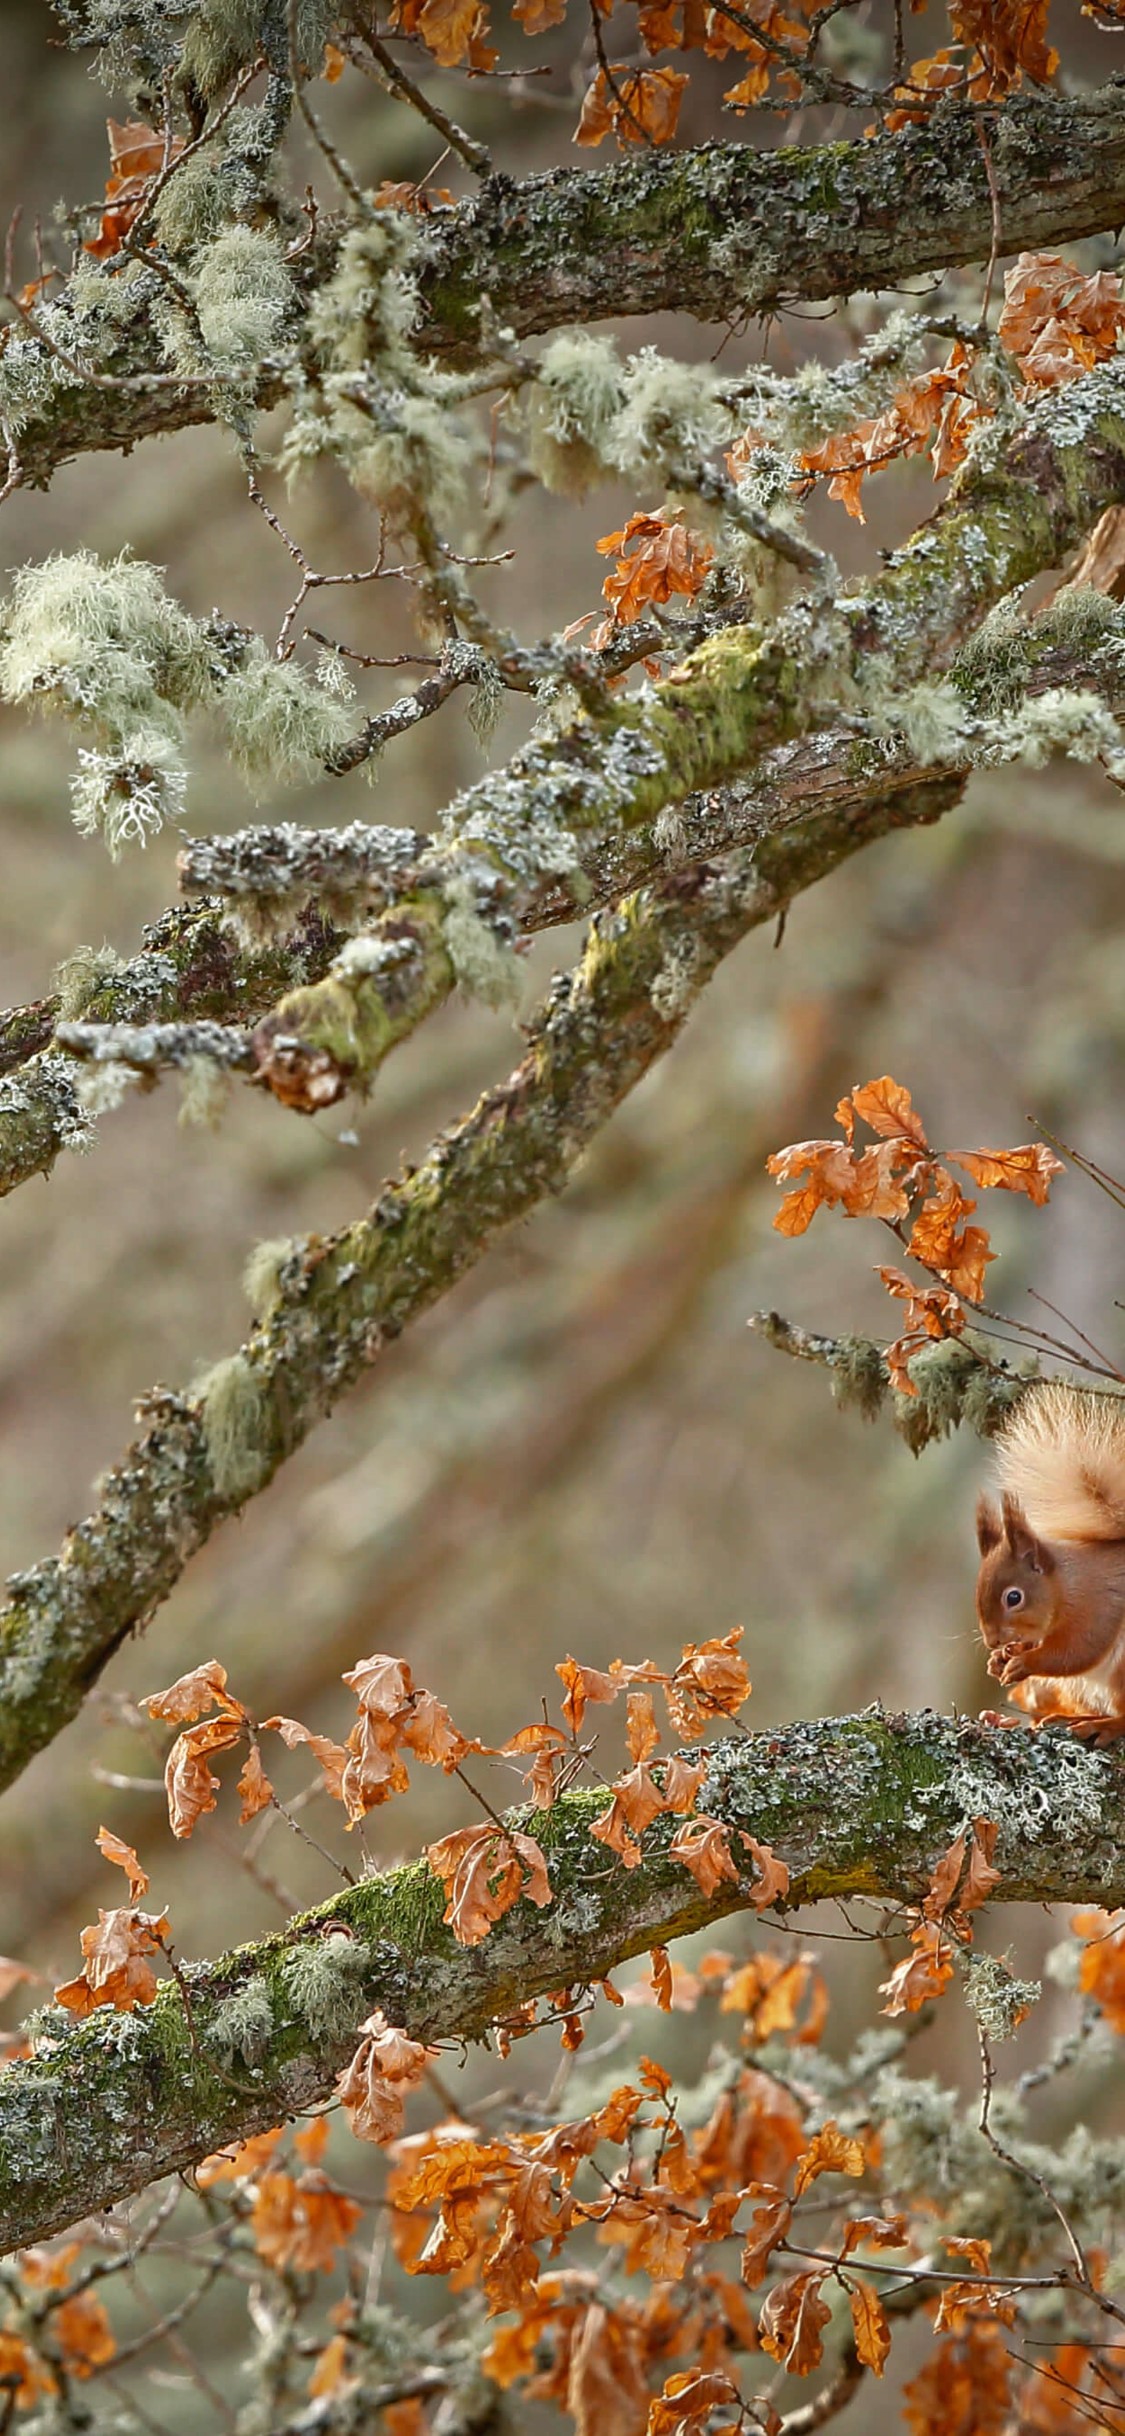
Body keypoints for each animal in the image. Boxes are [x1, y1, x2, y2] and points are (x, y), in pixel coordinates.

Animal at [976, 1381, 1125, 1743]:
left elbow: (1076, 1651)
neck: (1065, 1587)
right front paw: (1002, 1658)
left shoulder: (1098, 1606)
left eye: (1014, 1597)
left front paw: (1023, 1663)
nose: (992, 1641)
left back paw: (1104, 1726)